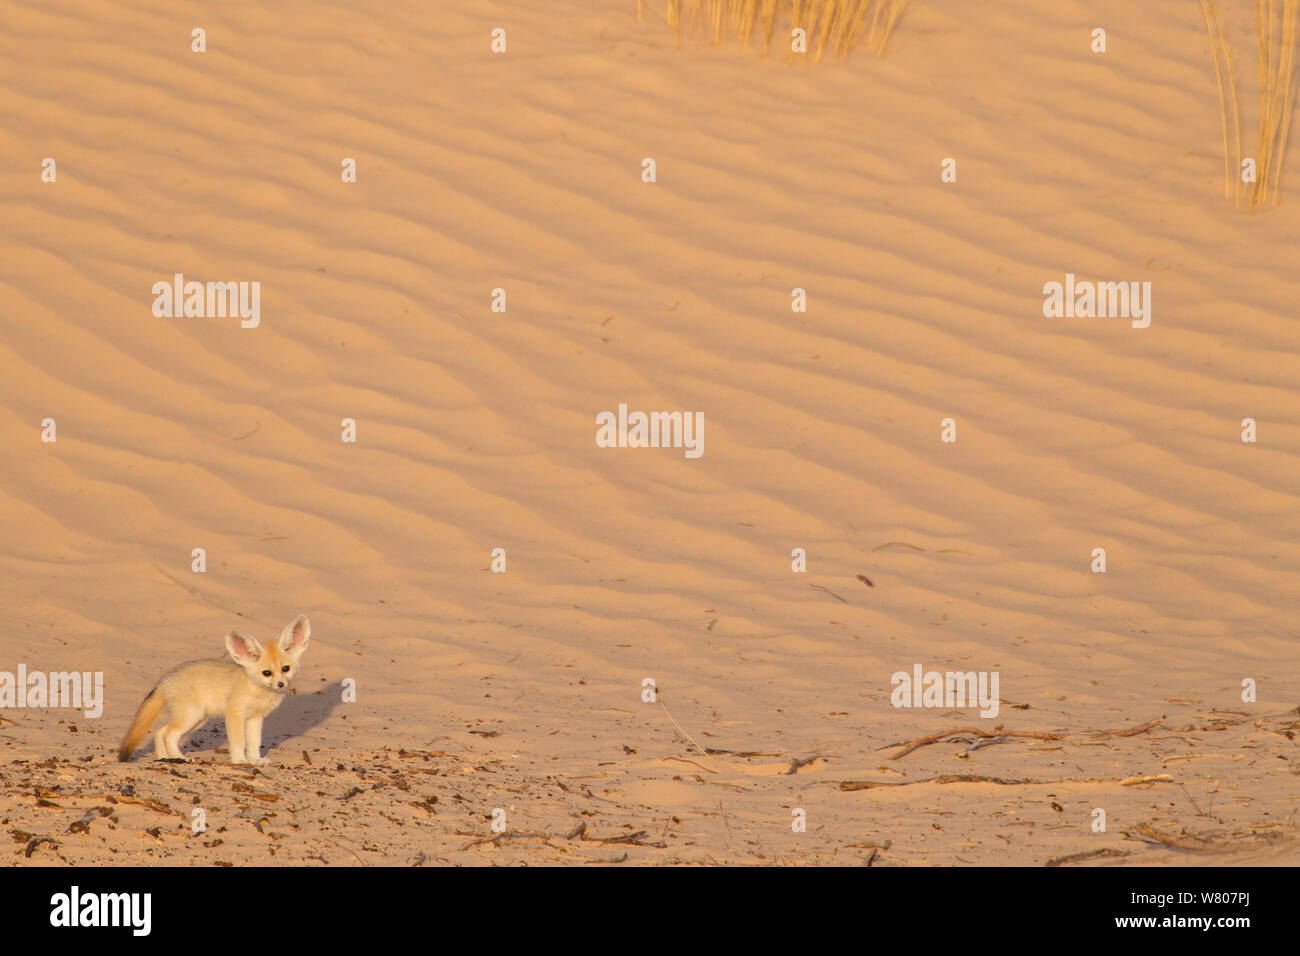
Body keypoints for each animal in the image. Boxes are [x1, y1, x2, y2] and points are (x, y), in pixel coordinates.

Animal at [117, 615, 310, 765]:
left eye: (285, 669)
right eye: (267, 673)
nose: (281, 684)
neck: (257, 690)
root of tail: (165, 679)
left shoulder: (255, 718)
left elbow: (254, 742)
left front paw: (255, 760)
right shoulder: (235, 713)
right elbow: (239, 741)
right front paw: (240, 761)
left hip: (196, 720)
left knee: (161, 732)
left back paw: (166, 758)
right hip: (191, 717)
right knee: (169, 735)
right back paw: (181, 758)